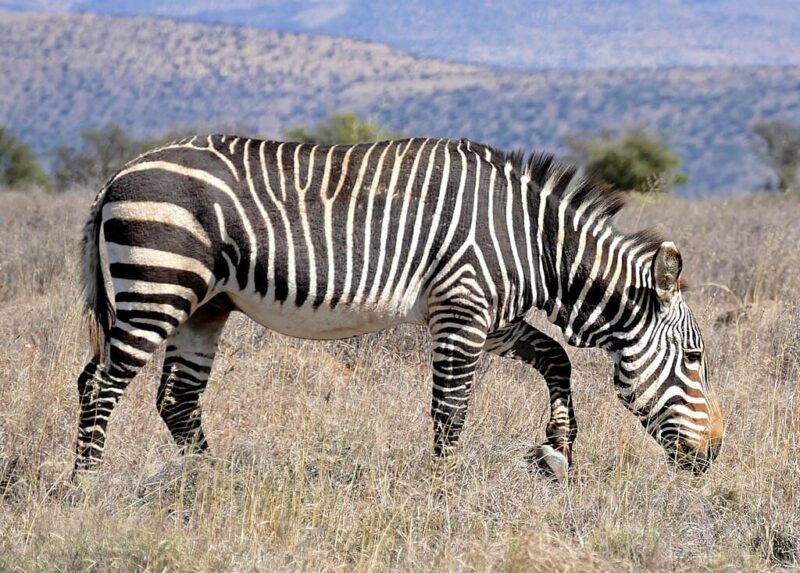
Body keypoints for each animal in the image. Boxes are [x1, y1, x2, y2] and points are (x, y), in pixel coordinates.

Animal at [73, 135, 724, 478]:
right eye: (695, 360)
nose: (716, 452)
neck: (536, 244)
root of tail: (117, 176)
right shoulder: (462, 313)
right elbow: (450, 412)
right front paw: (444, 492)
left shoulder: (491, 318)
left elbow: (556, 359)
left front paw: (556, 450)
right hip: (158, 286)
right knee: (100, 386)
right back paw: (88, 487)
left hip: (204, 306)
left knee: (175, 399)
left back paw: (210, 482)